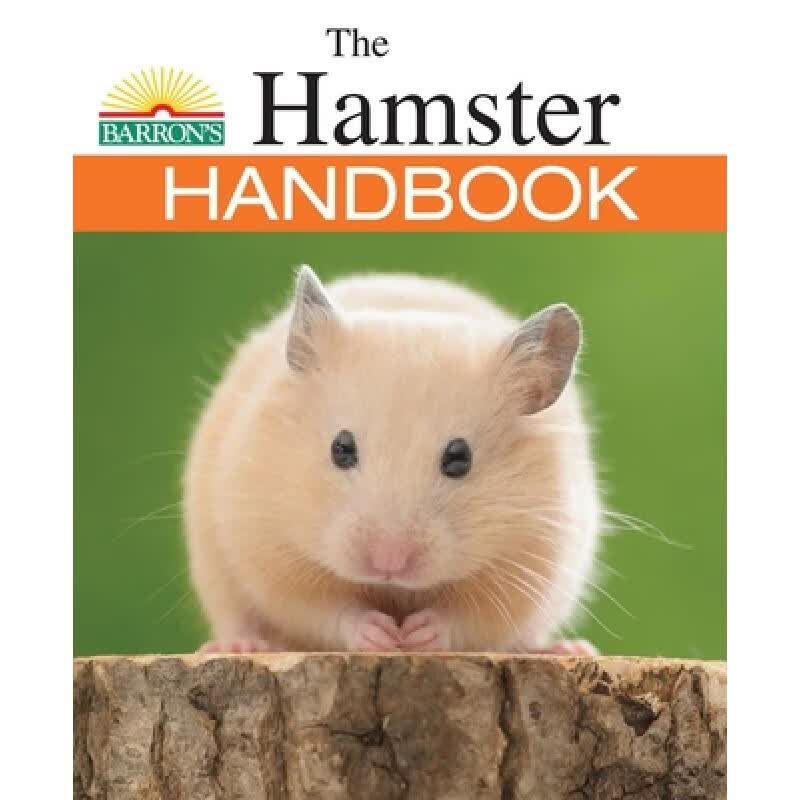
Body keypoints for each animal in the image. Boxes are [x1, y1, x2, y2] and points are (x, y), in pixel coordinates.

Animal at [184, 266, 600, 654]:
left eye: (460, 458)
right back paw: (240, 646)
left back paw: (568, 648)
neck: (396, 591)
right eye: (341, 448)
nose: (389, 562)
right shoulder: (269, 553)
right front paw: (381, 635)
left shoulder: (532, 563)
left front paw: (415, 635)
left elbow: (467, 620)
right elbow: (325, 610)